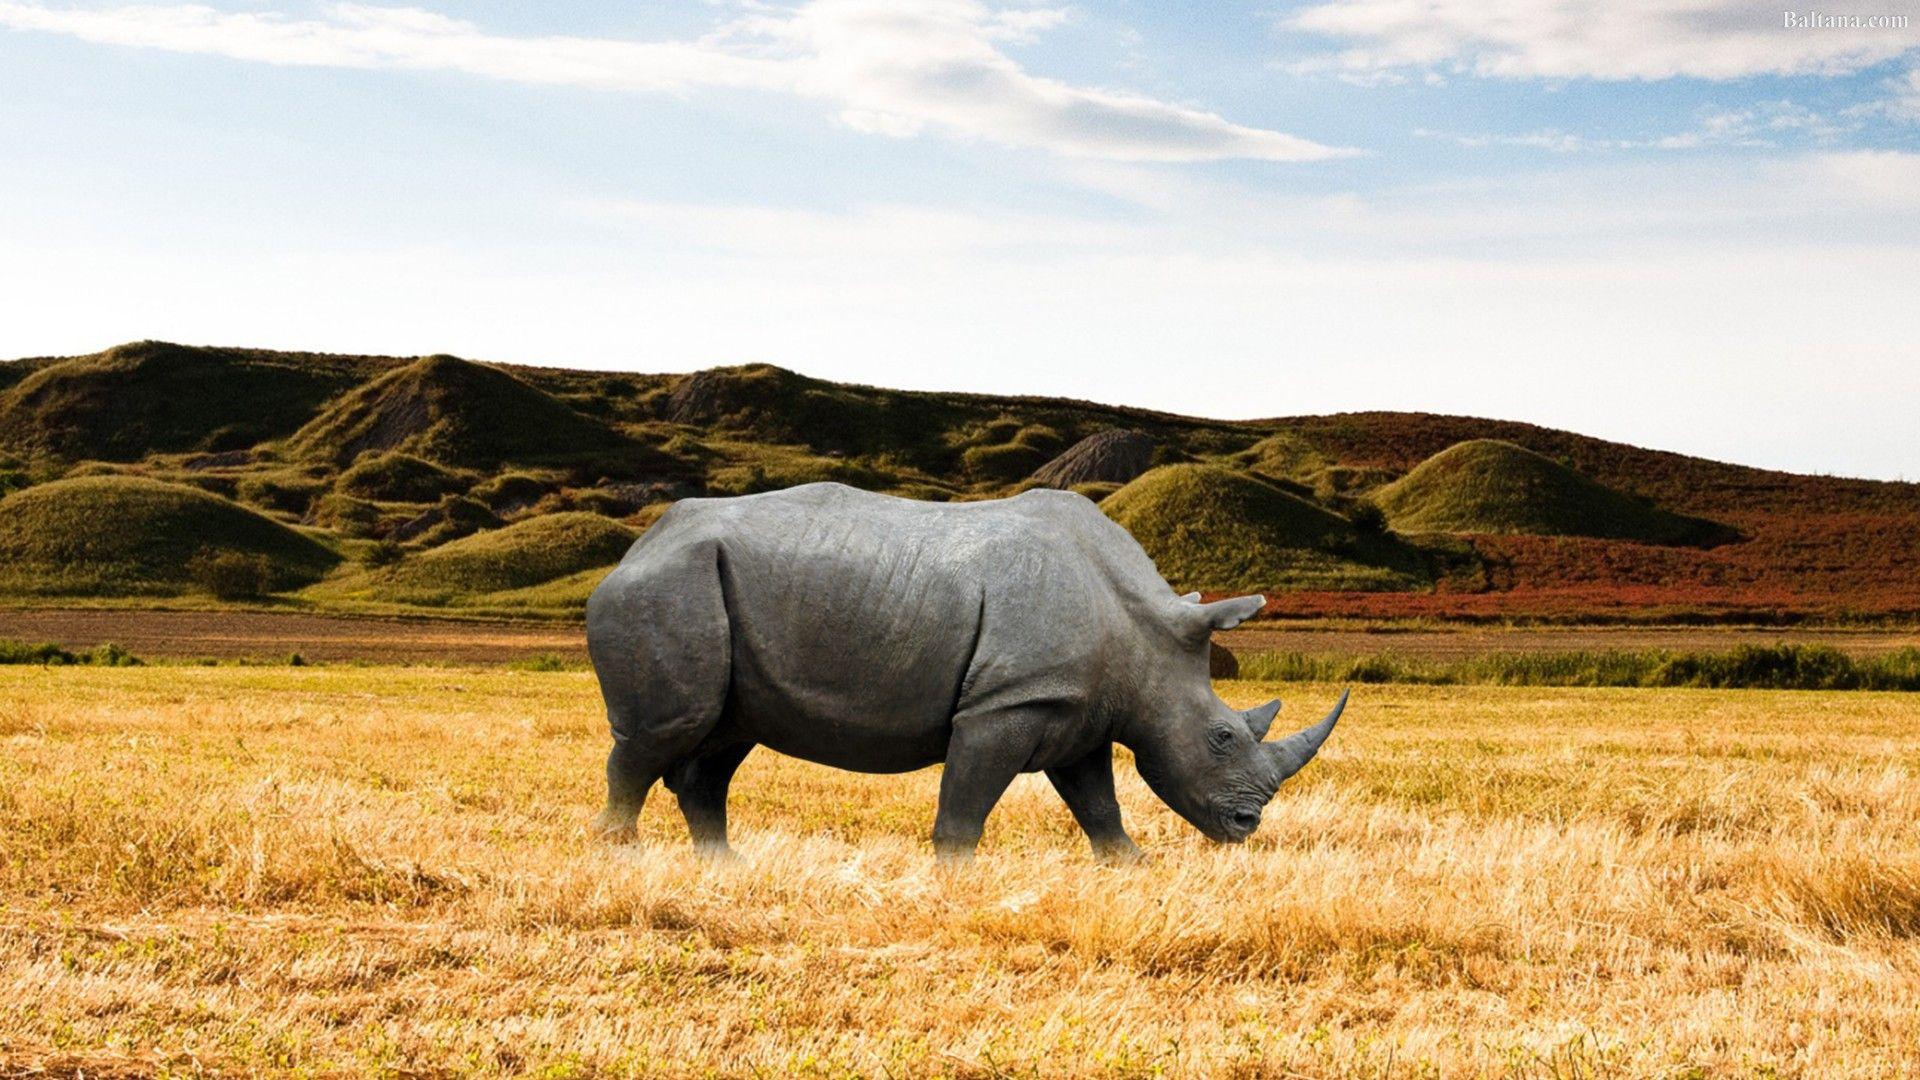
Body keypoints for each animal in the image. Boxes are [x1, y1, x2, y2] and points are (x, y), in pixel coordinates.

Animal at [585, 482, 1346, 858]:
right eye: (1222, 737)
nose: (1247, 825)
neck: (1146, 635)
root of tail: (639, 547)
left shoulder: (1078, 708)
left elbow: (1098, 802)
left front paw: (1132, 867)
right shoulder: (1006, 702)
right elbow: (967, 805)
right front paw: (953, 876)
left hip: (714, 596)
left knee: (723, 740)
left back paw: (725, 868)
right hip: (668, 586)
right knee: (661, 734)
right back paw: (621, 860)